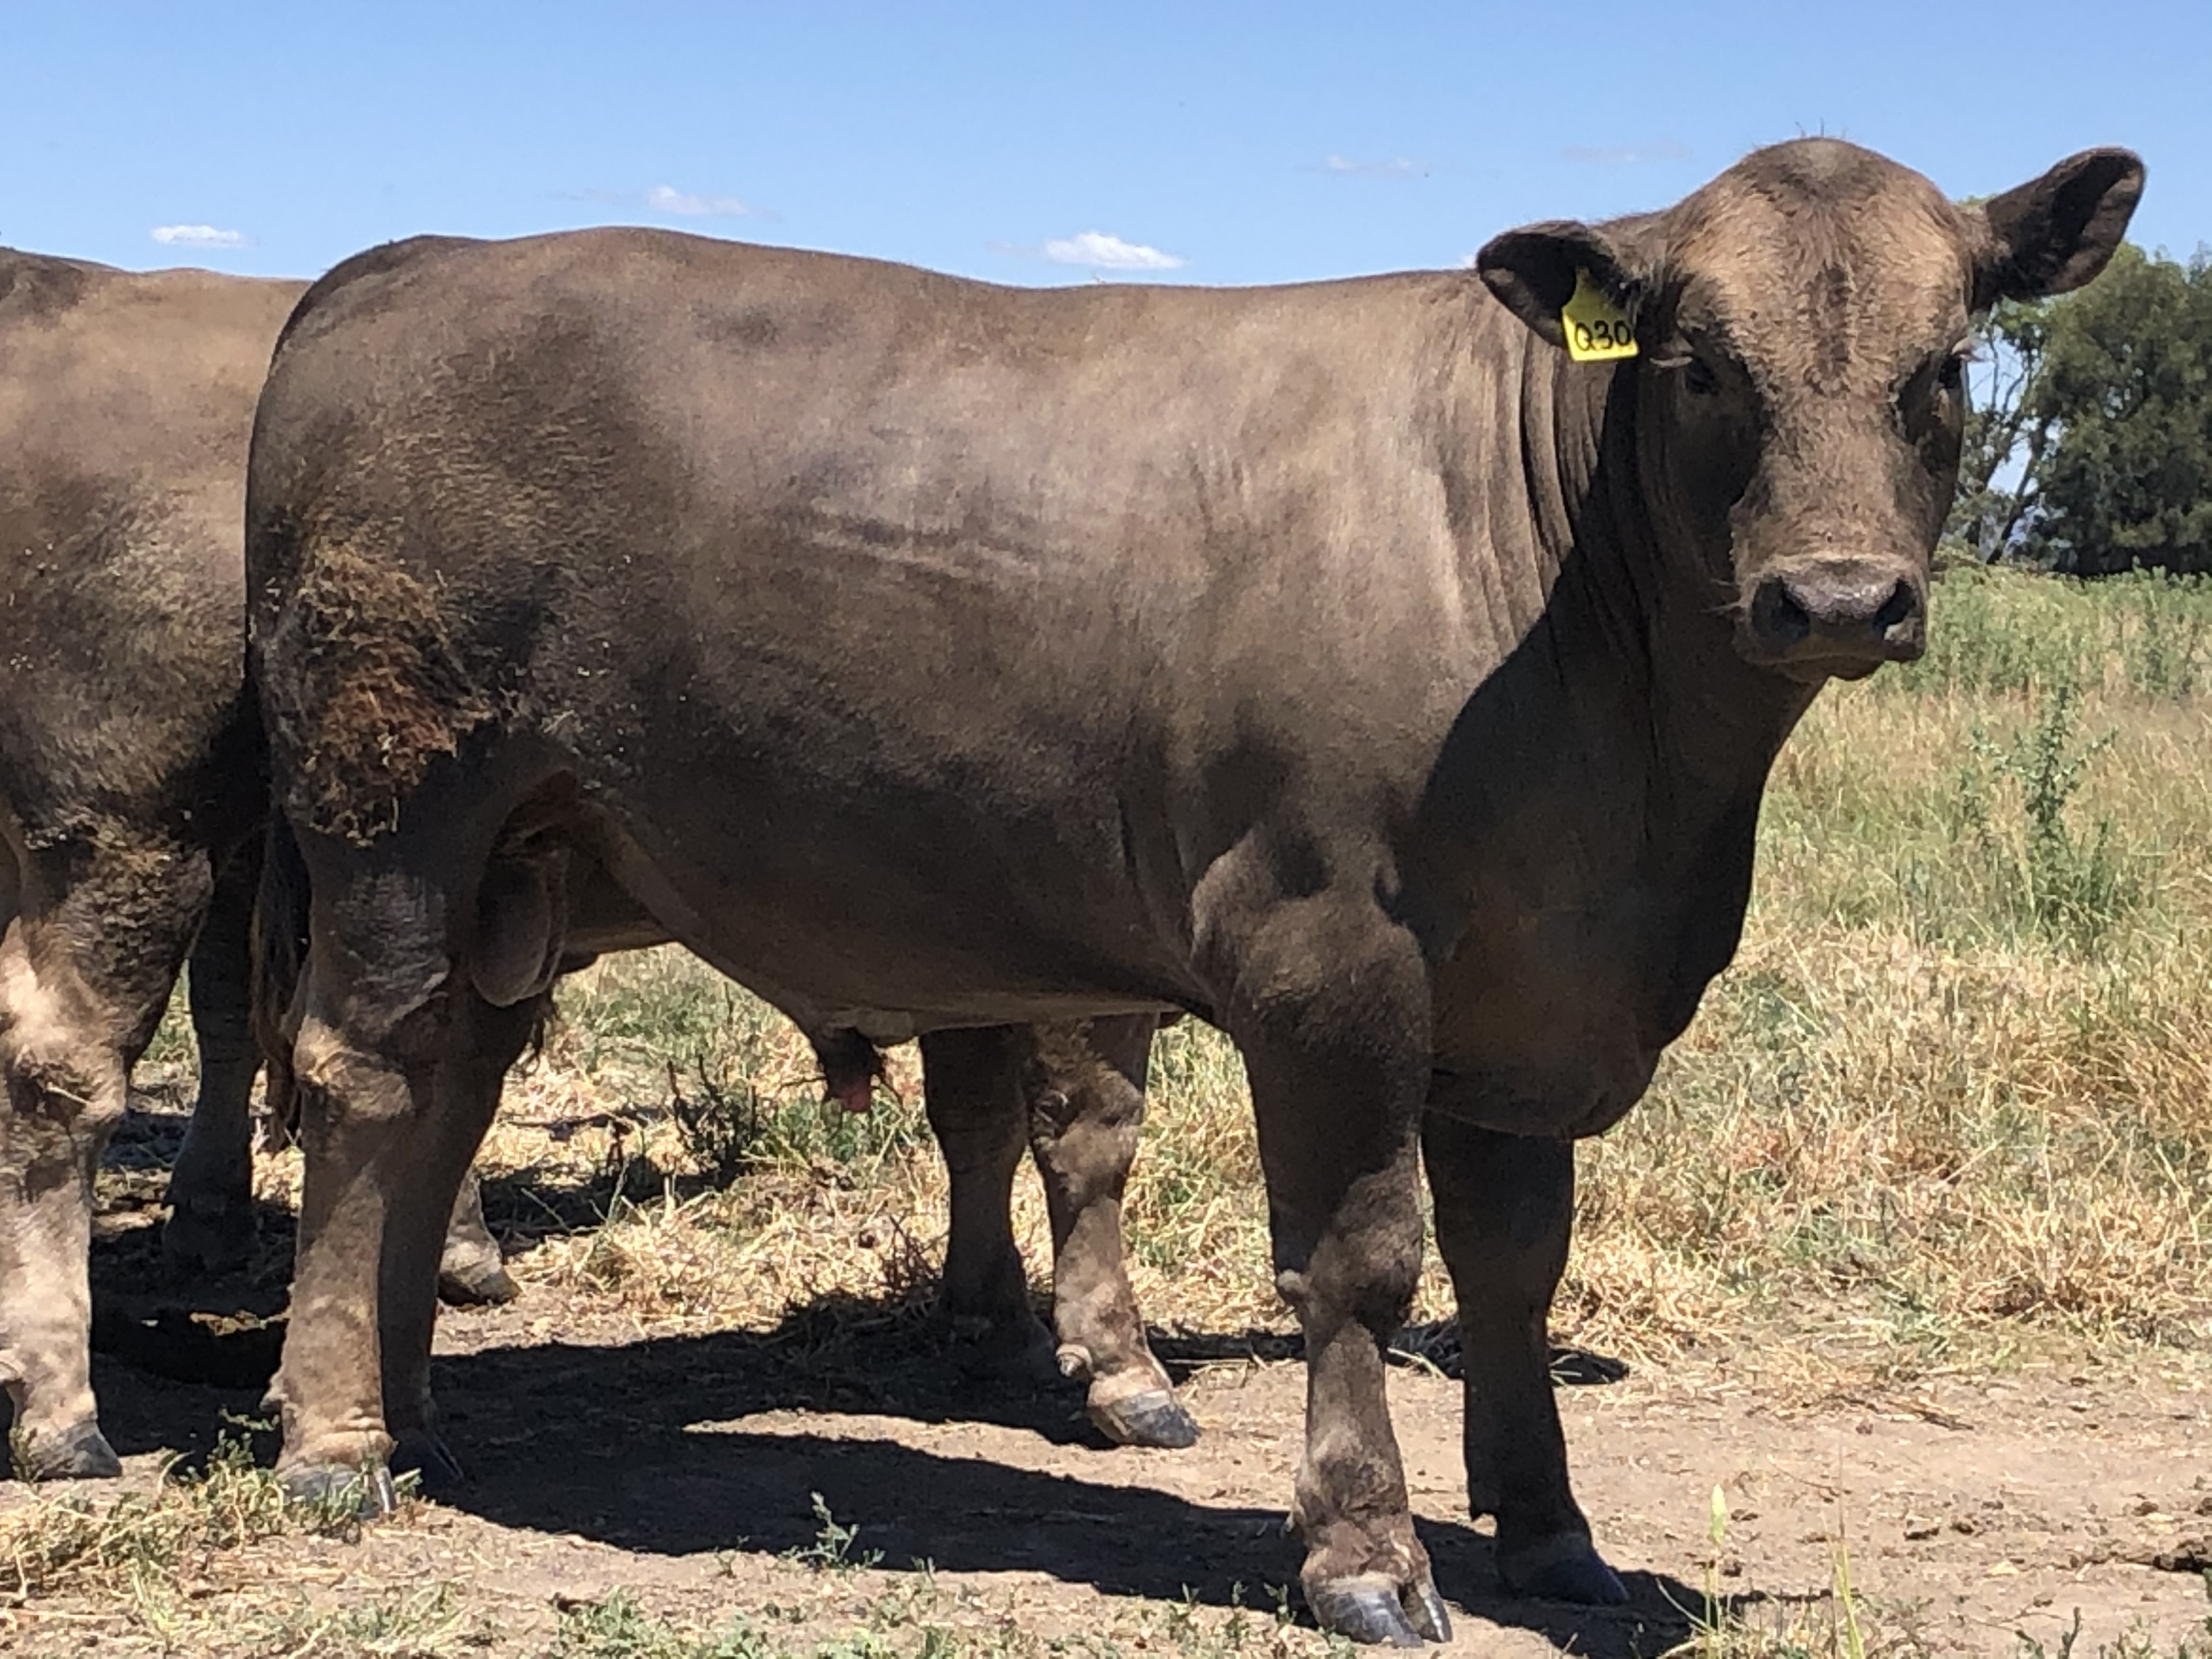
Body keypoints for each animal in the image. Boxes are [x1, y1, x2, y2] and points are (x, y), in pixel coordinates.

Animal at [242, 140, 2142, 1644]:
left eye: (1944, 365)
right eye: (1694, 364)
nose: (1834, 597)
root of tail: (395, 266)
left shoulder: (1529, 995)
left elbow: (1513, 1272)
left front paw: (1552, 1536)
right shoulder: (1320, 953)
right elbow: (1362, 1264)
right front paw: (1365, 1557)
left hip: (522, 862)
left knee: (447, 1100)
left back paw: (413, 1416)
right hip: (389, 807)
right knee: (367, 1083)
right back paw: (333, 1443)